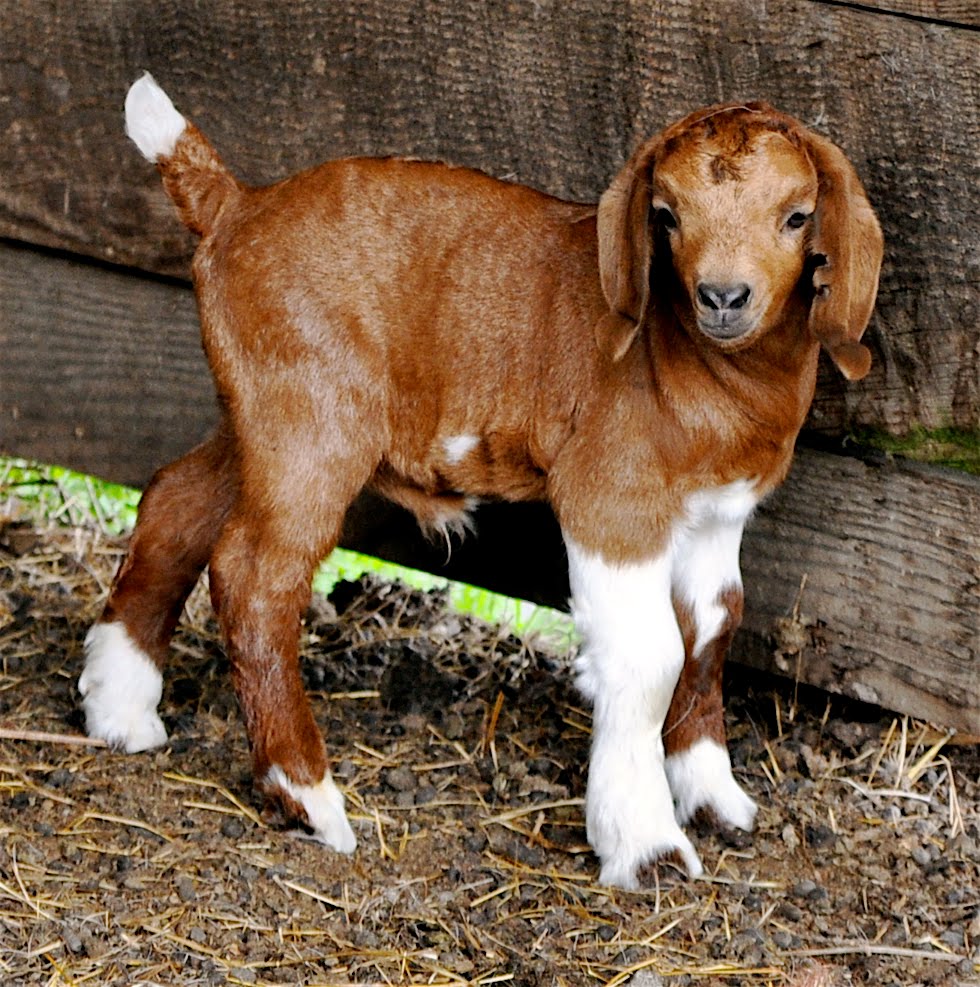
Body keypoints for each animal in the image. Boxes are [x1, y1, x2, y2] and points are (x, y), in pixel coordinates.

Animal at [80, 74, 882, 889]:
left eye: (797, 215)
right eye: (666, 214)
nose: (721, 297)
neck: (702, 369)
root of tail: (235, 204)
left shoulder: (717, 512)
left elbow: (712, 632)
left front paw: (715, 797)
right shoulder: (610, 495)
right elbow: (652, 655)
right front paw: (646, 845)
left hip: (257, 410)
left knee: (176, 500)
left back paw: (120, 708)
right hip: (310, 410)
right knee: (254, 573)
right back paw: (307, 795)